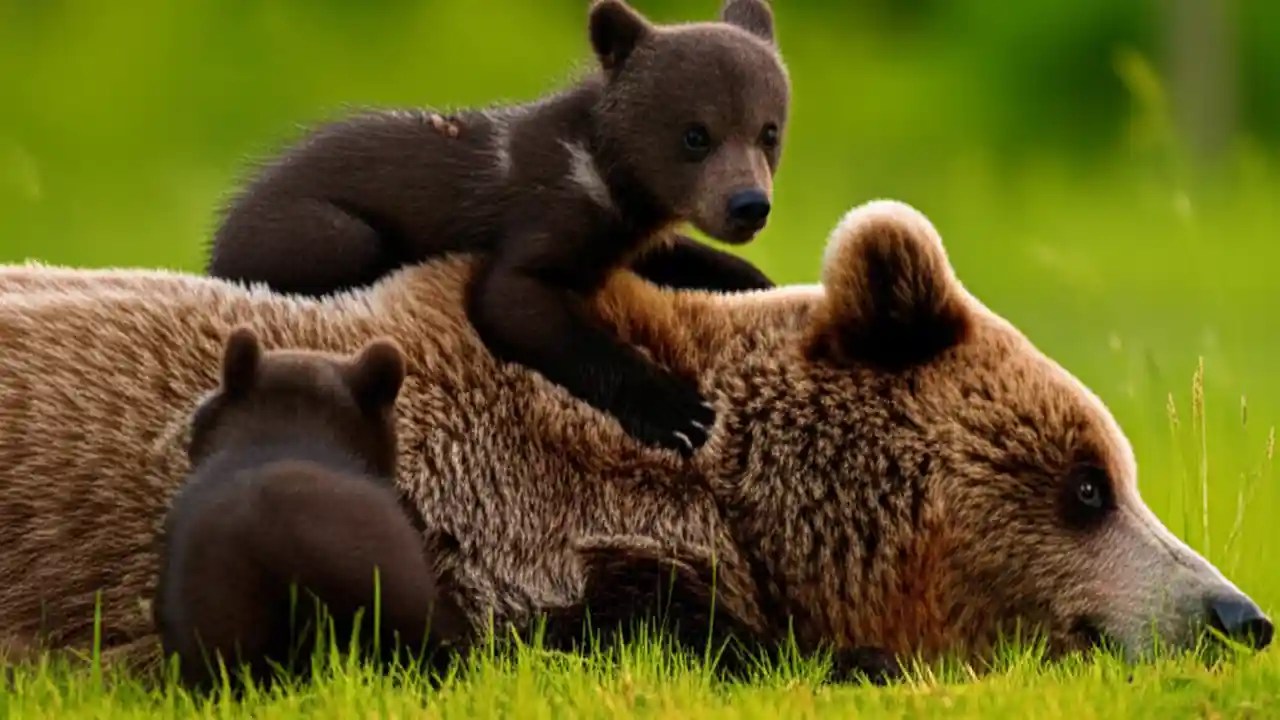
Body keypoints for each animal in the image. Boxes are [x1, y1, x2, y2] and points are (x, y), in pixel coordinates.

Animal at [205, 0, 790, 459]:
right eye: (695, 135)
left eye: (769, 132)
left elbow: (688, 256)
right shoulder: (545, 216)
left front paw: (761, 282)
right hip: (327, 232)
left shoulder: (624, 234)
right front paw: (680, 413)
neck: (595, 168)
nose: (749, 206)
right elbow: (514, 302)